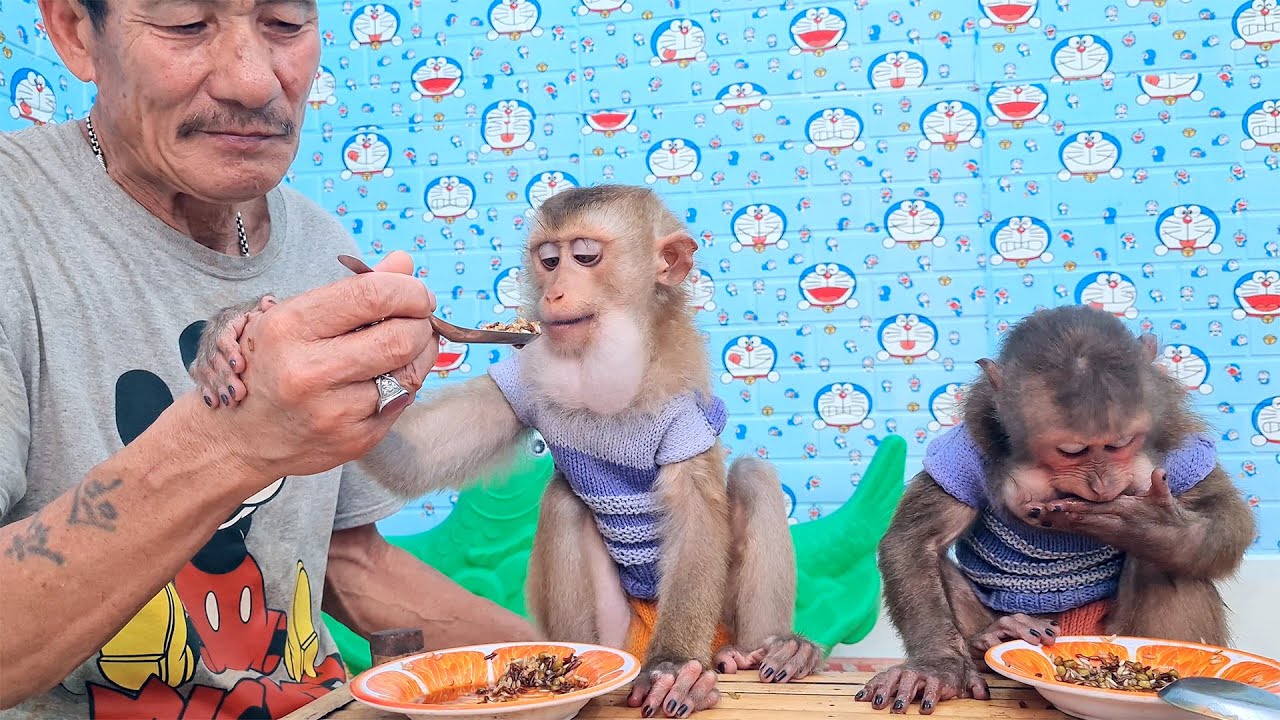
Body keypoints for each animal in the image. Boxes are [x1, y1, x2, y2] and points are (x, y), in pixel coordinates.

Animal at [189, 185, 825, 719]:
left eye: (585, 257)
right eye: (548, 259)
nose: (555, 292)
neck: (599, 365)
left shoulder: (681, 413)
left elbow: (694, 514)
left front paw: (673, 669)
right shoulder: (526, 377)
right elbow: (416, 459)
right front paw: (239, 323)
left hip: (714, 622)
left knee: (753, 478)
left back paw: (764, 650)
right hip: (620, 629)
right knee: (566, 500)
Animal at [855, 304, 1255, 715]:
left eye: (1120, 444)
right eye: (1071, 452)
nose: (1102, 485)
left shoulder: (1180, 444)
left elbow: (1227, 517)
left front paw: (1151, 526)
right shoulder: (963, 451)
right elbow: (915, 542)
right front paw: (937, 665)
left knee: (1172, 568)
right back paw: (995, 636)